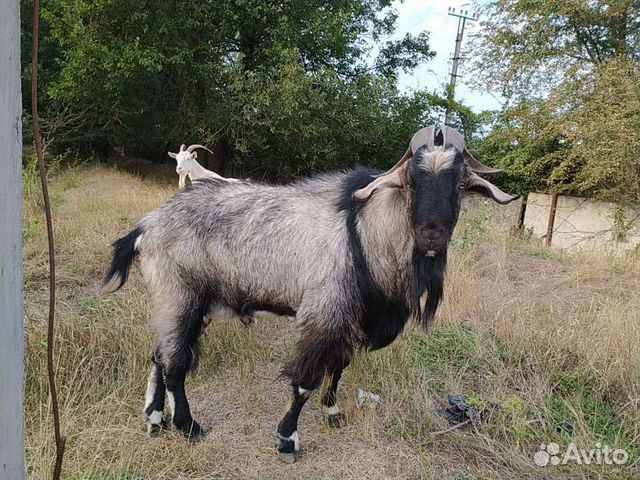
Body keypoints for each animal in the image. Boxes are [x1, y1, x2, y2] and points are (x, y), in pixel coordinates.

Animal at [101, 125, 520, 464]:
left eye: (460, 184)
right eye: (411, 181)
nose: (431, 235)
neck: (364, 230)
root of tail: (146, 226)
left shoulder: (350, 317)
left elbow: (340, 366)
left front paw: (334, 415)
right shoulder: (324, 311)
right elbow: (306, 379)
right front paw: (287, 440)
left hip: (178, 303)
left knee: (159, 354)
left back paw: (155, 421)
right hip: (181, 296)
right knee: (174, 363)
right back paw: (189, 427)